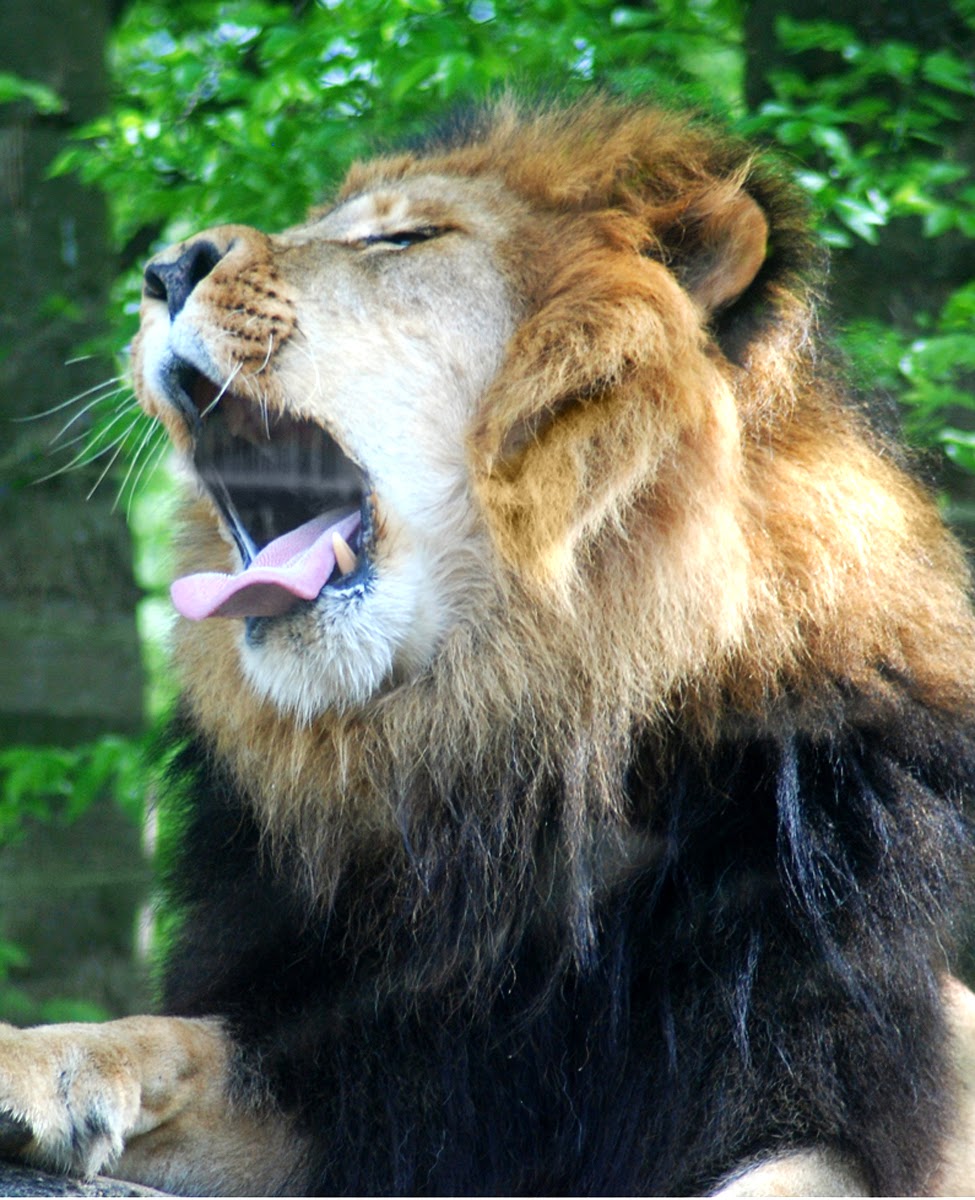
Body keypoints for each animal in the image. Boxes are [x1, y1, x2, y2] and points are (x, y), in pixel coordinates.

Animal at [2, 97, 975, 1196]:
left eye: (401, 239)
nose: (166, 269)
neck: (499, 756)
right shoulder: (361, 1084)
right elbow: (169, 1039)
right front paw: (34, 1064)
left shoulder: (817, 1088)